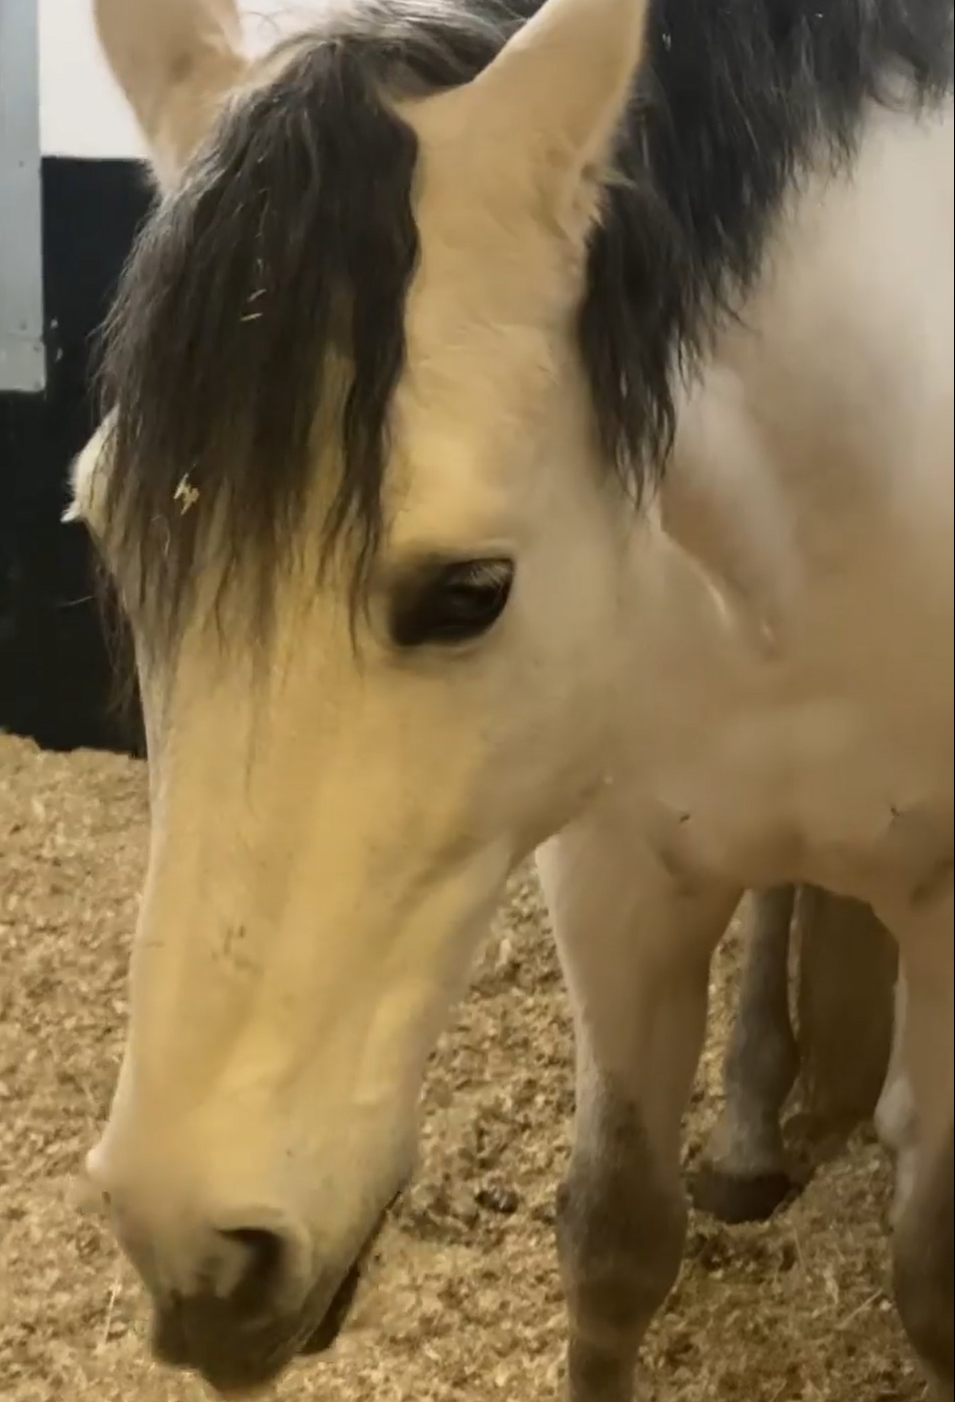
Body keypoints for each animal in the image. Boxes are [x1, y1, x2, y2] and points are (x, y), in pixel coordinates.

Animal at [70, 0, 953, 1397]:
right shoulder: (621, 876)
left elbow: (928, 1275)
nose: (197, 1248)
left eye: (471, 589)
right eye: (105, 539)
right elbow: (615, 1241)